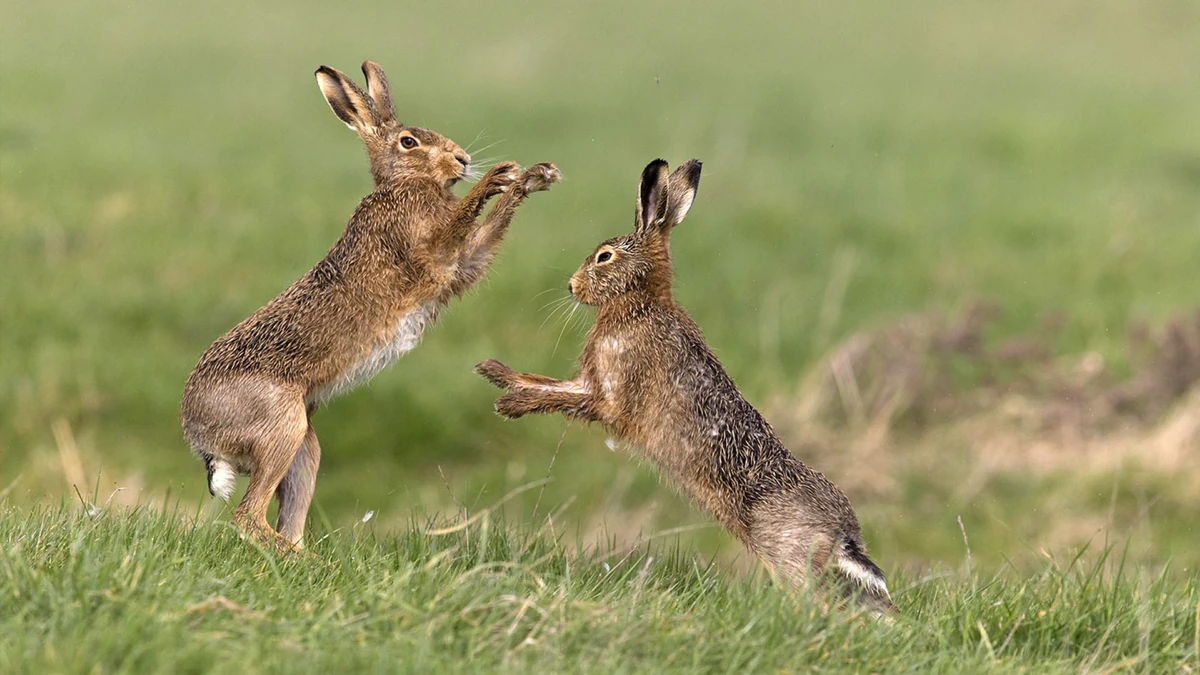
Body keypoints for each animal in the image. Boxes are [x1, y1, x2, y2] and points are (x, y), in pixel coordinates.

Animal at [181, 61, 560, 550]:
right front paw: (498, 176)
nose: (462, 159)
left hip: (304, 447)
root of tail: (199, 436)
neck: (404, 184)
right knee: (247, 517)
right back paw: (310, 560)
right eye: (409, 142)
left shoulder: (461, 267)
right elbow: (460, 221)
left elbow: (484, 234)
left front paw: (533, 176)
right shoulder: (430, 254)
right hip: (281, 427)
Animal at [476, 159, 894, 612]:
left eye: (604, 256)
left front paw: (511, 405)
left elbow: (560, 398)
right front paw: (493, 372)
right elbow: (549, 383)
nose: (572, 286)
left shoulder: (611, 397)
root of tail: (844, 532)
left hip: (788, 554)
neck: (639, 303)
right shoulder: (589, 381)